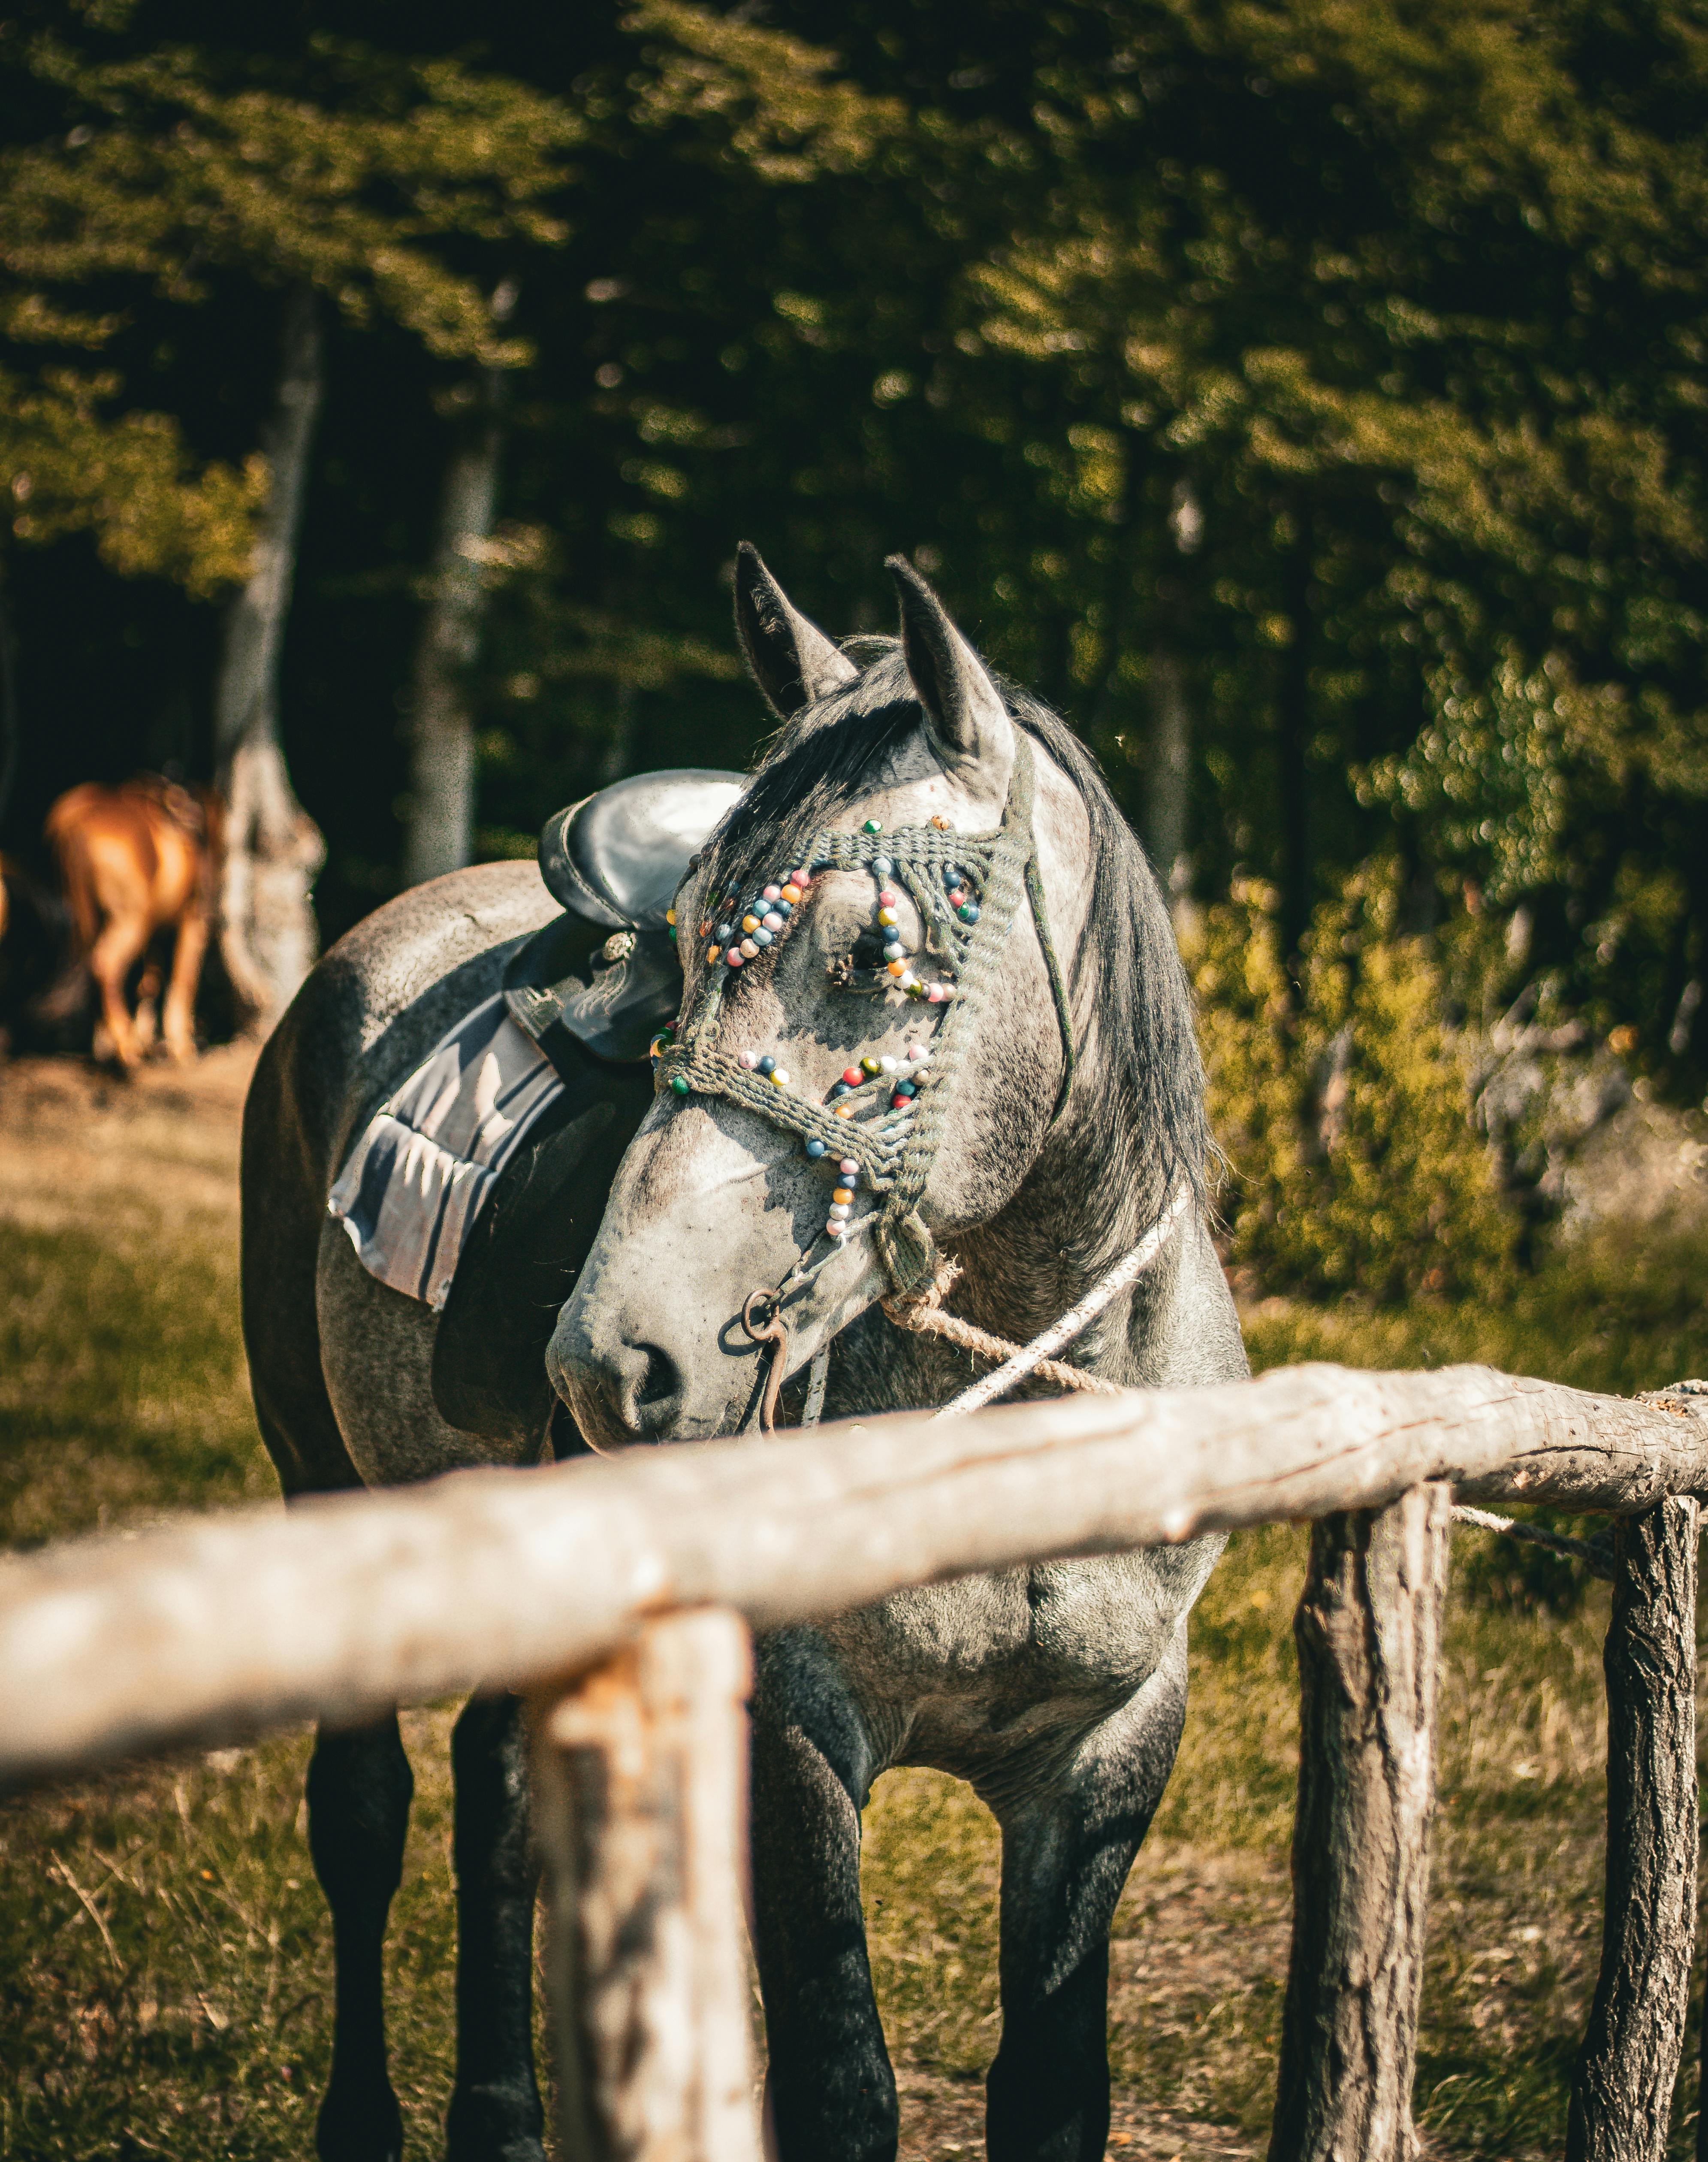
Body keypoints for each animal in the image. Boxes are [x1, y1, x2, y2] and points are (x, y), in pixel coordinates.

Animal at [44, 776, 216, 1068]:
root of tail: (74, 827)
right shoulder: (195, 920)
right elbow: (184, 979)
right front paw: (181, 1047)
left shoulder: (156, 931)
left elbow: (150, 982)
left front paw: (148, 1042)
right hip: (130, 920)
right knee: (105, 964)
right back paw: (126, 1047)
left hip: (90, 921)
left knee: (96, 970)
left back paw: (109, 1047)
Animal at [241, 548, 1246, 2162]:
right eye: (690, 928)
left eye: (873, 949)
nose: (610, 1357)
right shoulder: (793, 1733)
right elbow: (840, 2086)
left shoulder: (1107, 1755)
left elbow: (1051, 2094)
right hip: (319, 1481)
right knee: (365, 1810)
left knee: (494, 1798)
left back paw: (501, 2116)